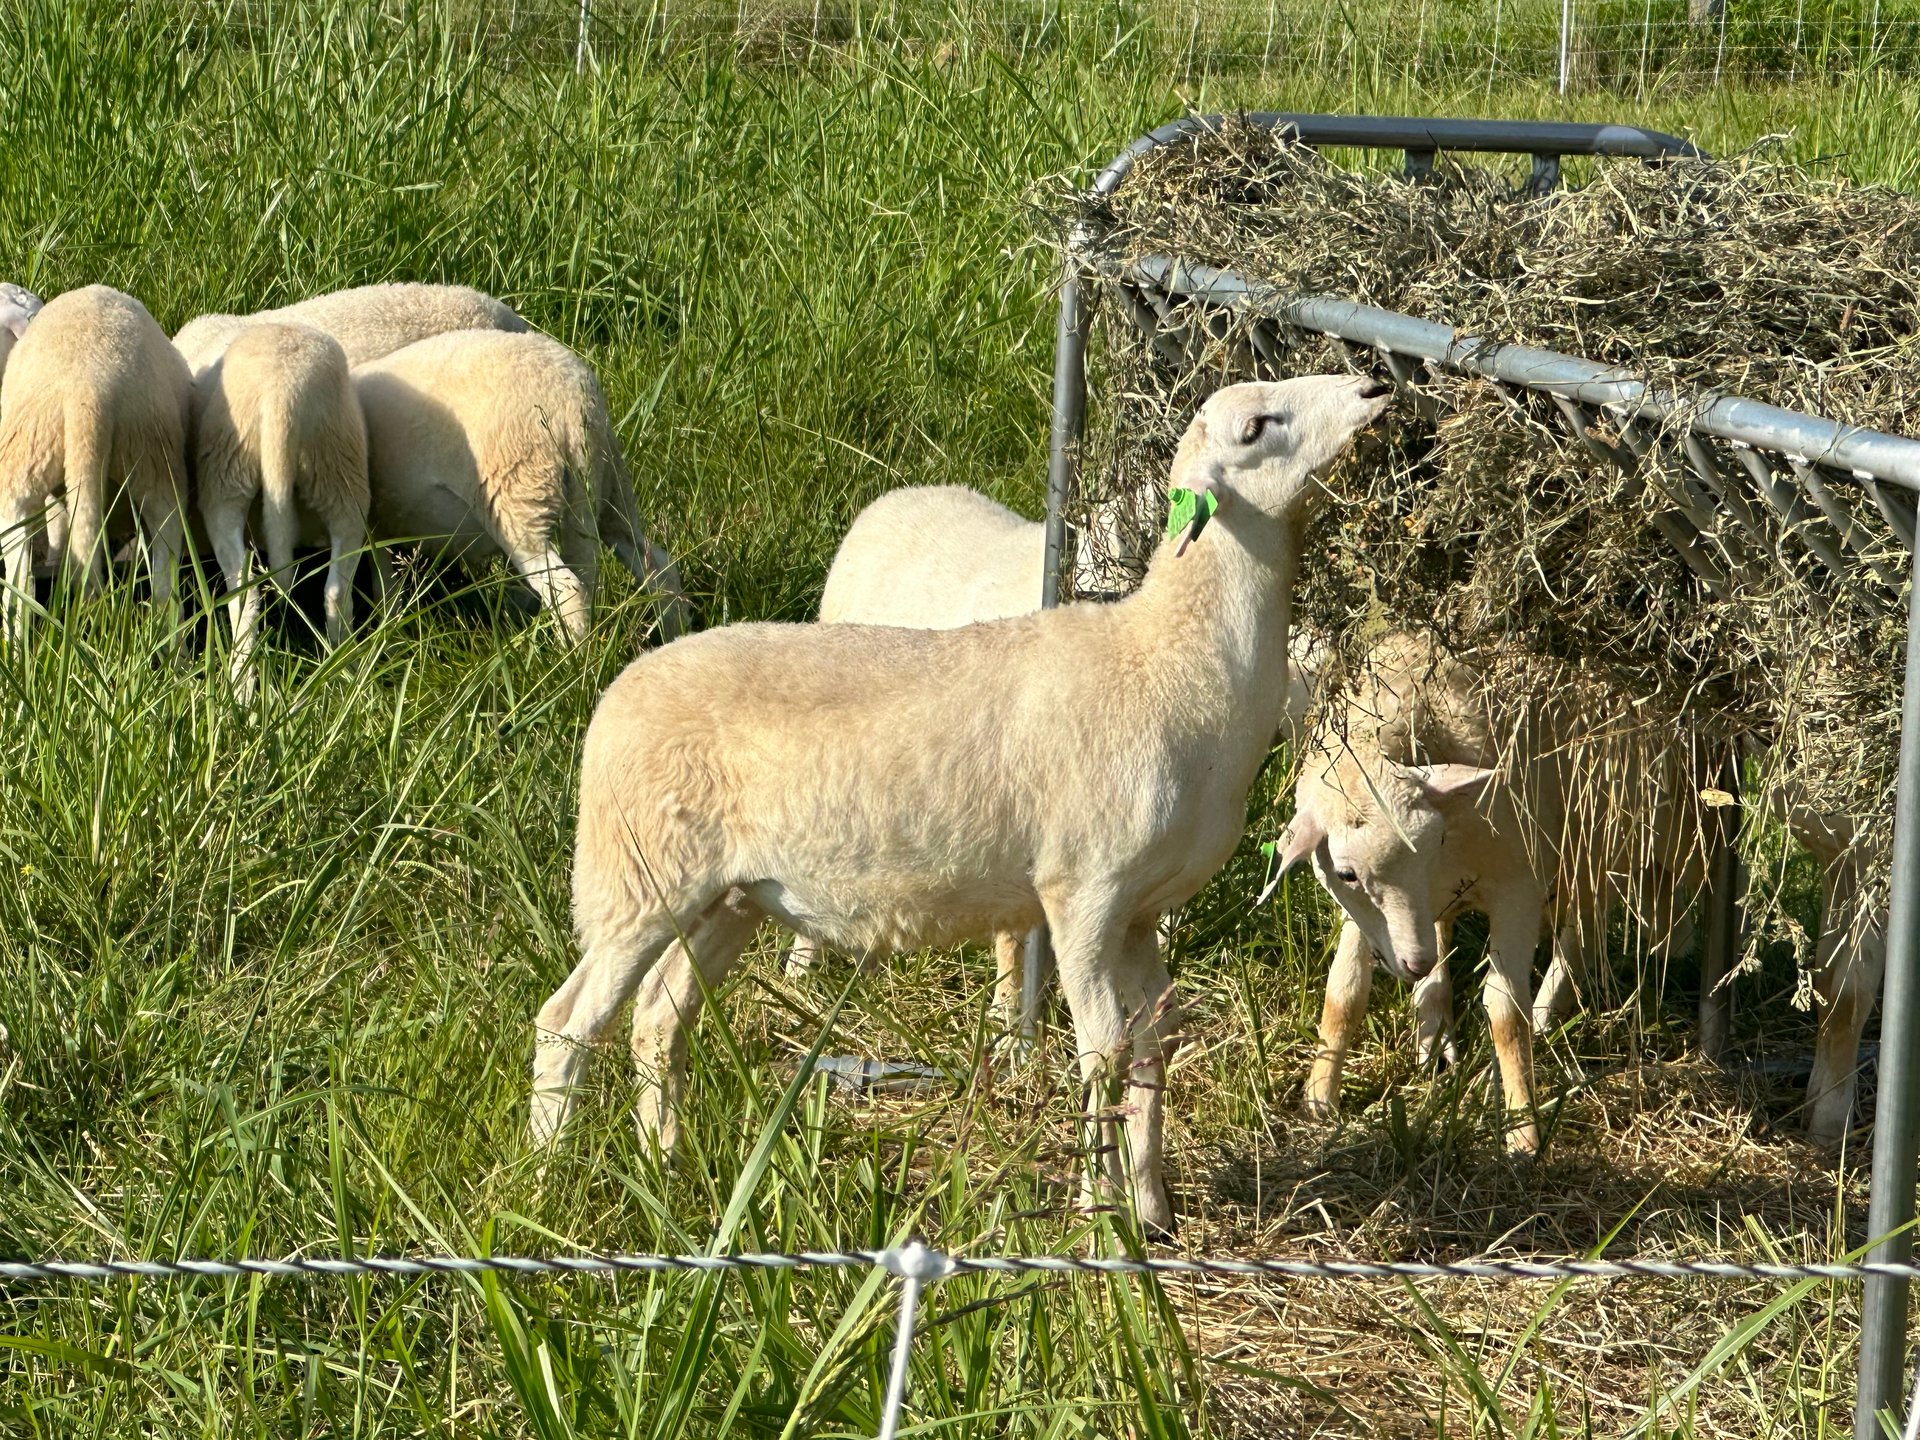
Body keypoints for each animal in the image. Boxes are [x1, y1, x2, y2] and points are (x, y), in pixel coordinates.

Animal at [192, 322, 369, 691]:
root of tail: (281, 393)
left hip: (229, 476)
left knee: (245, 593)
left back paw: (241, 685)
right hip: (338, 474)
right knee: (335, 590)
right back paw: (344, 668)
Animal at [354, 329, 688, 642]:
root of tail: (572, 406)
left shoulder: (371, 521)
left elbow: (382, 577)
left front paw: (387, 630)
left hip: (518, 495)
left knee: (568, 590)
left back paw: (571, 658)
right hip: (611, 486)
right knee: (657, 565)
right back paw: (674, 633)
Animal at [1269, 631, 1705, 1153]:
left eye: (1433, 843)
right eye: (1347, 875)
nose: (1413, 963)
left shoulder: (1518, 886)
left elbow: (1505, 1012)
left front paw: (1523, 1132)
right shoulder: (1371, 919)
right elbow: (1345, 992)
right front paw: (1320, 1098)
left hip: (1660, 820)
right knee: (1582, 914)